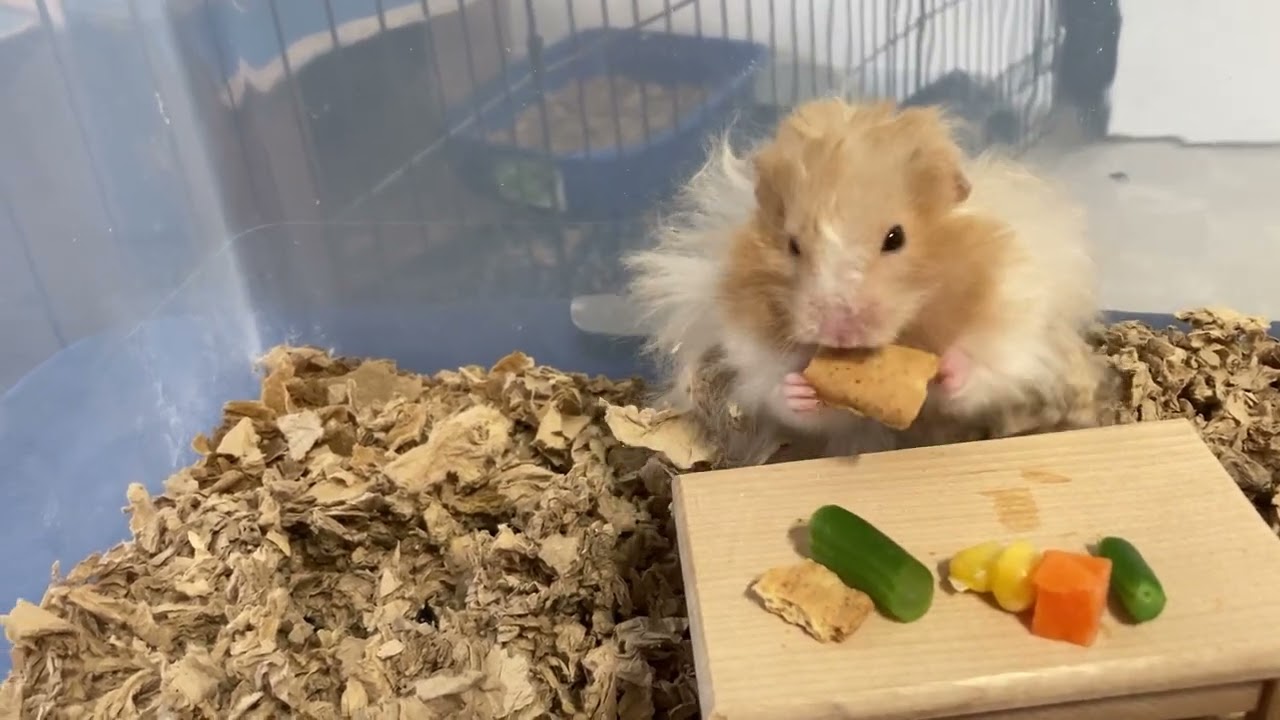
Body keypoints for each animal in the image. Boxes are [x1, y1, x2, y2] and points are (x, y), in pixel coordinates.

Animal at [624, 98, 1104, 466]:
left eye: (896, 238)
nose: (840, 332)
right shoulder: (753, 354)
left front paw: (949, 368)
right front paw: (800, 387)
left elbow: (980, 373)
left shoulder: (1012, 323)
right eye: (793, 245)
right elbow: (791, 398)